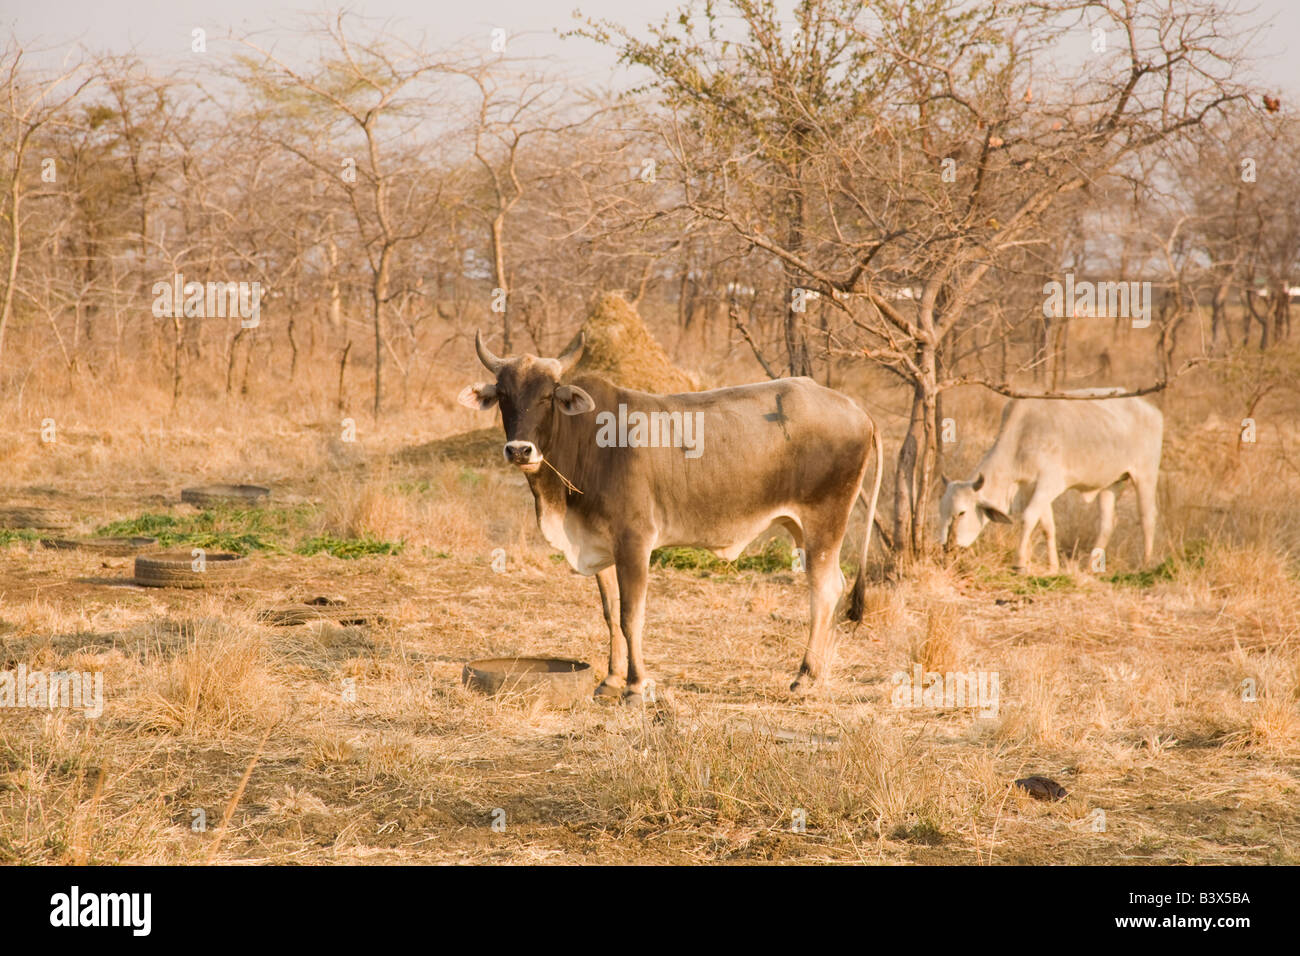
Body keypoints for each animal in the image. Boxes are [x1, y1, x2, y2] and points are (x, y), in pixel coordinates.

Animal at [459, 332, 884, 700]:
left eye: (548, 395)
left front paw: (635, 685)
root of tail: (859, 411)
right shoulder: (600, 545)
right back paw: (818, 672)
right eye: (503, 395)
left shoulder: (634, 541)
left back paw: (805, 675)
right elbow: (610, 613)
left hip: (825, 522)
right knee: (834, 584)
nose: (520, 450)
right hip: (804, 529)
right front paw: (611, 680)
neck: (589, 444)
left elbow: (631, 615)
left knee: (824, 590)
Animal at [938, 391, 1163, 573]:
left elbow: (1028, 518)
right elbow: (1048, 526)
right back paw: (1090, 567)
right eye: (941, 511)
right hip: (1111, 484)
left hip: (1145, 475)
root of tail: (1151, 410)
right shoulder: (1035, 491)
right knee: (1107, 523)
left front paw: (1020, 563)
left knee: (1147, 518)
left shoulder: (1049, 485)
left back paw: (1145, 563)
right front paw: (1053, 566)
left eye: (962, 512)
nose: (946, 547)